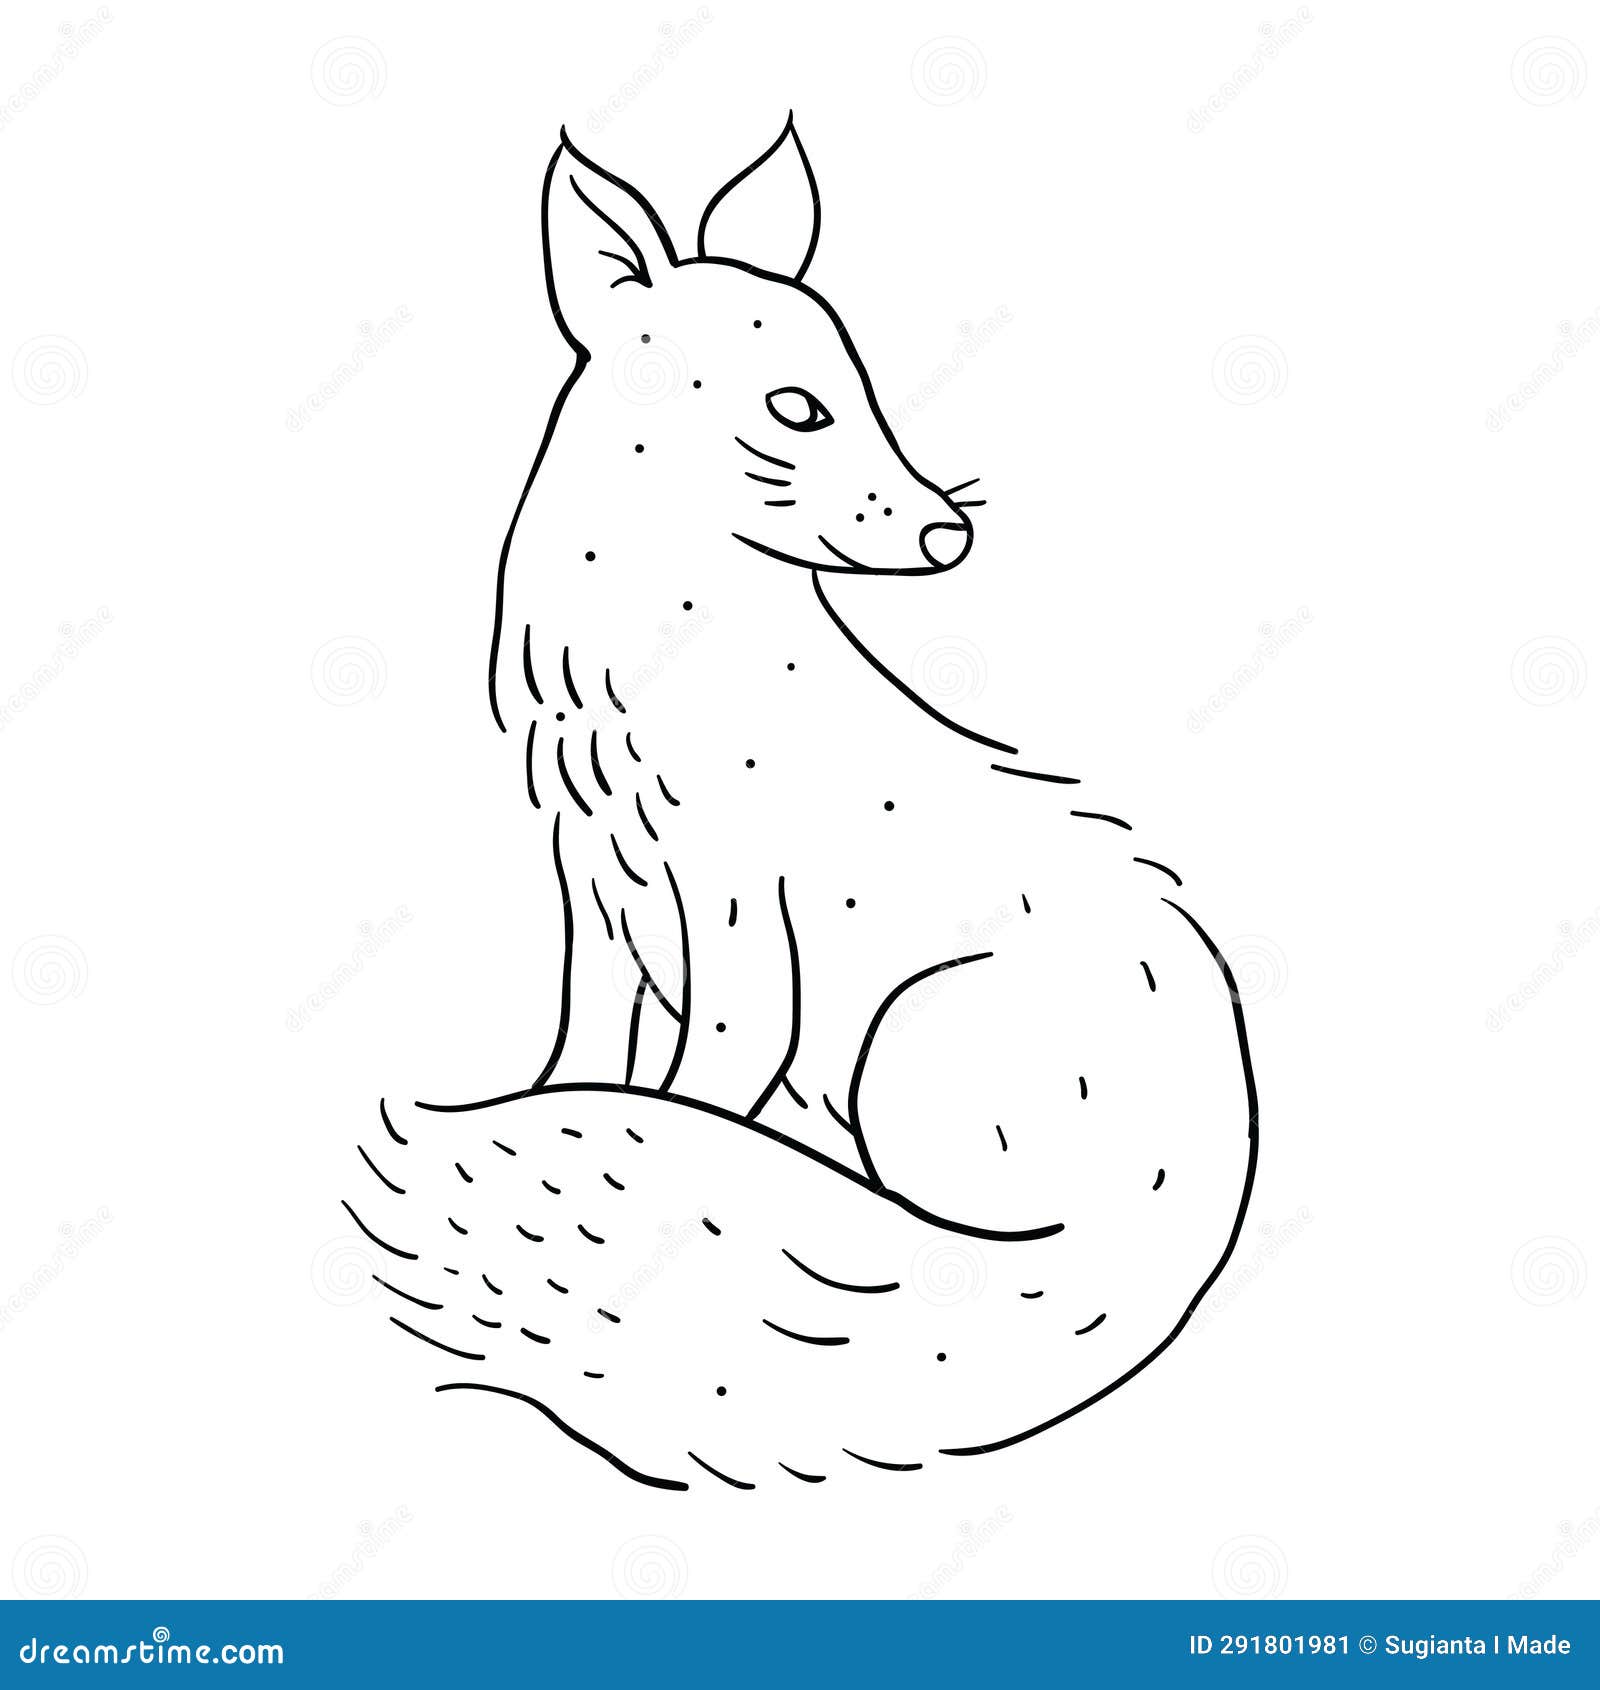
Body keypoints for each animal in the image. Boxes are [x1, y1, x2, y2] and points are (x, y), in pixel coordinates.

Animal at [349, 122, 1257, 1490]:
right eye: (799, 407)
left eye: (860, 390)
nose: (946, 535)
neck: (652, 673)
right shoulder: (598, 893)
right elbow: (582, 1062)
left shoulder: (741, 926)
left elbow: (688, 1094)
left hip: (907, 1041)